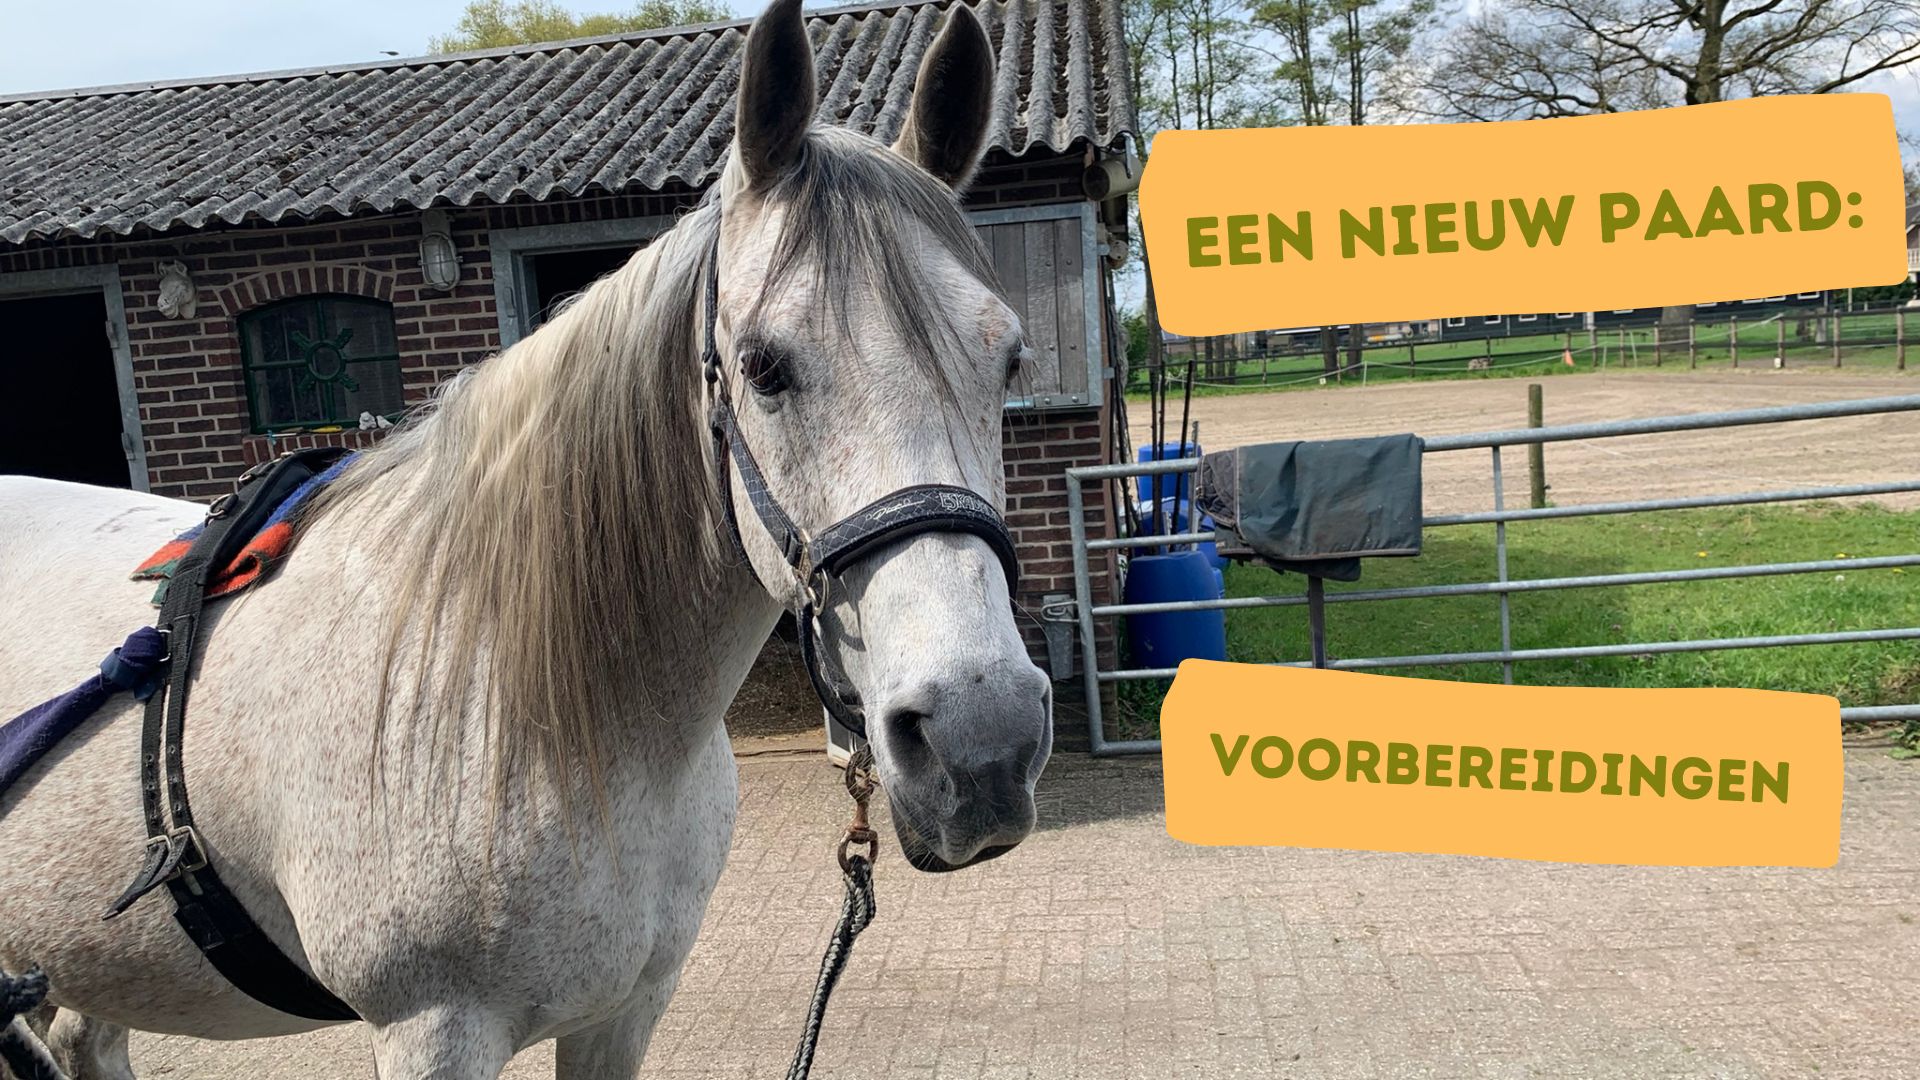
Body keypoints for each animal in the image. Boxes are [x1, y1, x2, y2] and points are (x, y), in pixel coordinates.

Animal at [0, 0, 1052, 1074]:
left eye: (1010, 360)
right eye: (764, 366)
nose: (981, 741)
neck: (522, 704)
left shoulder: (624, 1012)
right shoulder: (432, 1032)